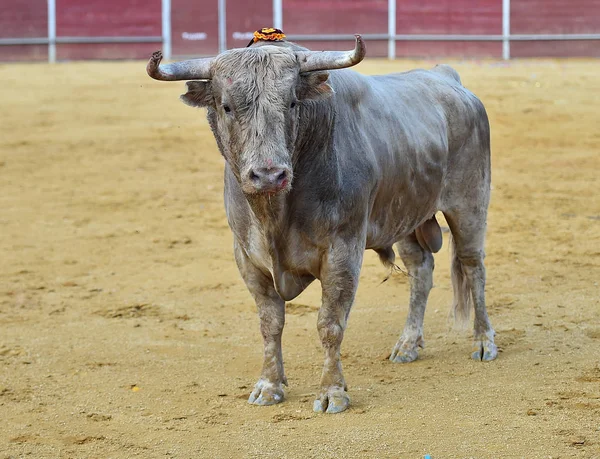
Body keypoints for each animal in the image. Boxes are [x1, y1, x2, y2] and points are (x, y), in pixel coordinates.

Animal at [145, 32, 496, 414]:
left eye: (292, 103)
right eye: (227, 107)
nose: (269, 175)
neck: (275, 213)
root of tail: (447, 77)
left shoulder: (343, 251)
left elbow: (330, 323)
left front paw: (332, 391)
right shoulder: (247, 257)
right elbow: (270, 323)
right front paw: (268, 385)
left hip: (469, 204)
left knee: (472, 265)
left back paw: (483, 342)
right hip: (405, 216)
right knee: (421, 270)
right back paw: (407, 345)